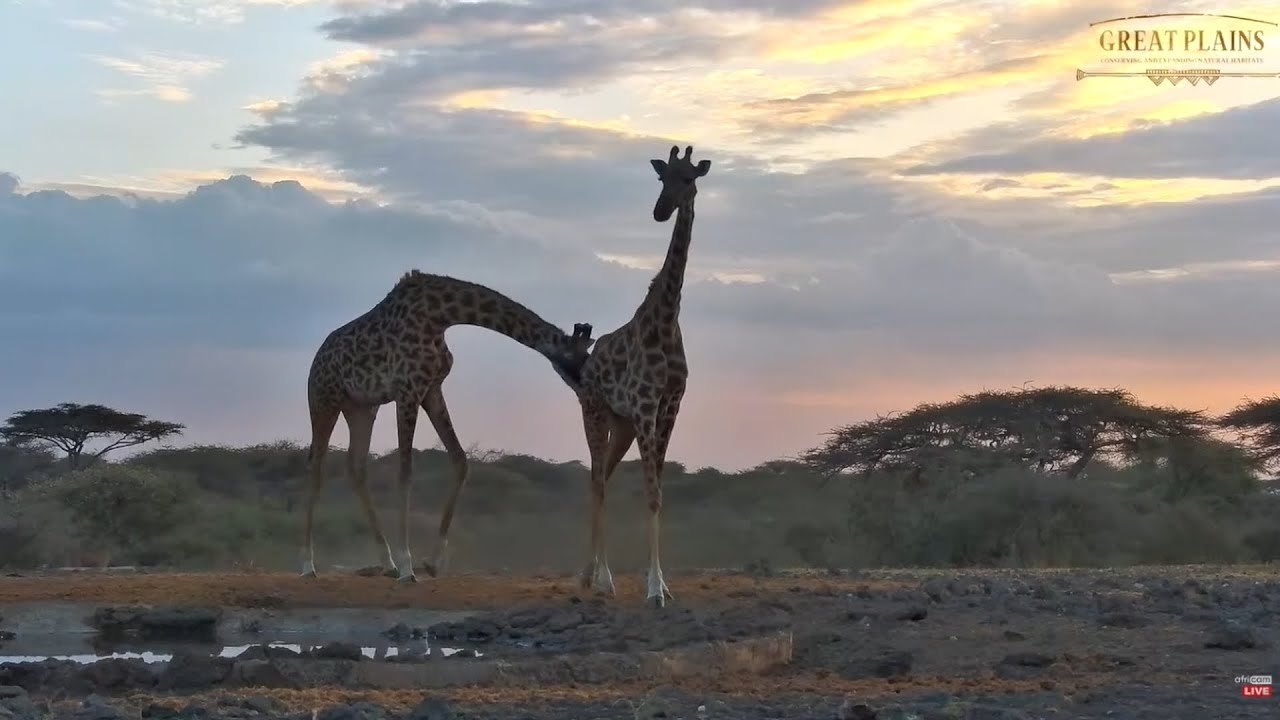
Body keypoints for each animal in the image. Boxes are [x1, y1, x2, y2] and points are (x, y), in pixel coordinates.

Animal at [301, 270, 594, 582]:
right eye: (580, 362)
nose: (589, 391)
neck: (441, 316)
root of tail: (315, 360)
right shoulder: (408, 390)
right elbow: (405, 473)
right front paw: (408, 566)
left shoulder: (431, 389)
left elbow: (460, 461)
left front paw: (433, 562)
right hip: (324, 401)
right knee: (315, 467)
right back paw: (308, 565)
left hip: (362, 408)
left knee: (356, 466)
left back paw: (386, 562)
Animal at [573, 144, 712, 608]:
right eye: (660, 178)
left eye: (688, 178)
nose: (660, 211)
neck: (666, 321)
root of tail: (589, 363)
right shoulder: (648, 405)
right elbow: (650, 491)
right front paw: (653, 590)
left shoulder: (670, 407)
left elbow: (658, 491)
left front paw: (662, 585)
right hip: (595, 412)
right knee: (596, 481)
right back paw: (600, 579)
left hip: (623, 424)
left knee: (601, 478)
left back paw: (593, 575)